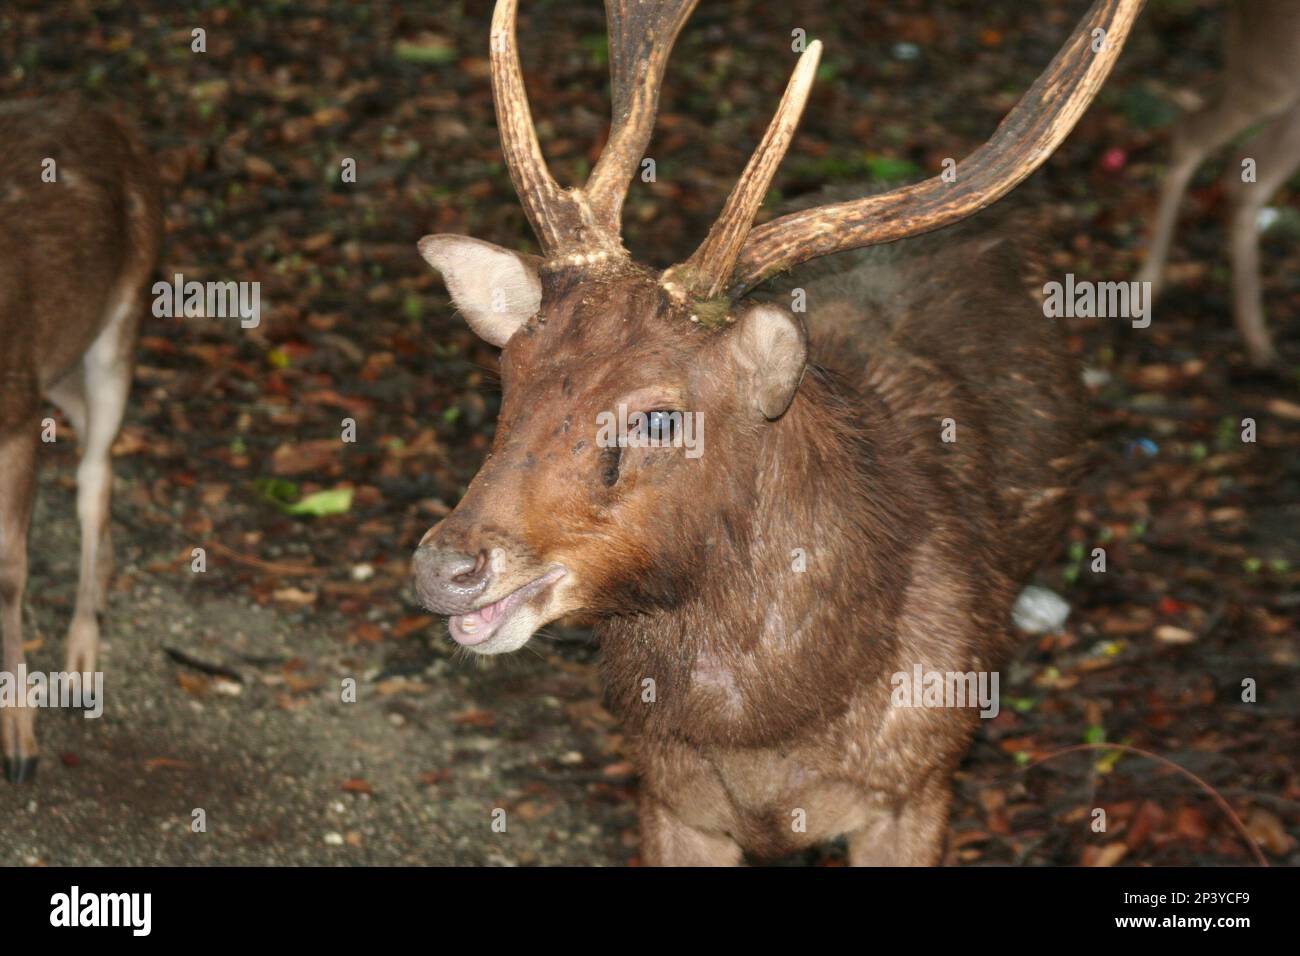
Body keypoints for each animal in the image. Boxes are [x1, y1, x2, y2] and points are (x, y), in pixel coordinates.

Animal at [412, 0, 1143, 865]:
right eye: (509, 374)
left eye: (661, 415)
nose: (447, 567)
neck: (768, 735)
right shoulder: (667, 794)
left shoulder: (922, 783)